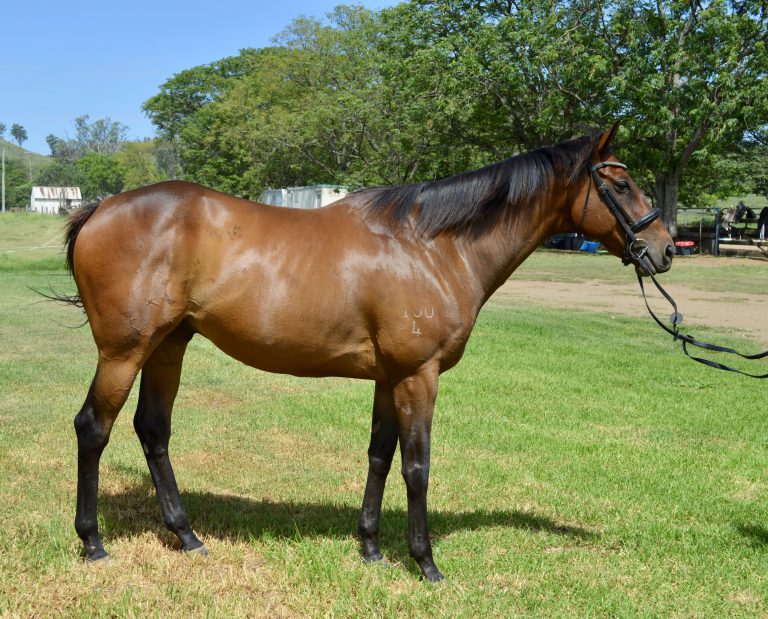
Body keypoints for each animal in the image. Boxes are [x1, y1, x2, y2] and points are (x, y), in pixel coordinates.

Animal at [62, 125, 673, 582]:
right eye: (621, 184)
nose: (665, 249)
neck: (432, 245)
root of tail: (101, 208)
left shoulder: (389, 377)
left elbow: (380, 455)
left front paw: (372, 548)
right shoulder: (419, 375)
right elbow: (417, 466)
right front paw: (426, 564)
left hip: (168, 345)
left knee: (153, 430)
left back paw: (187, 536)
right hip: (124, 352)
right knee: (94, 427)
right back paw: (93, 543)